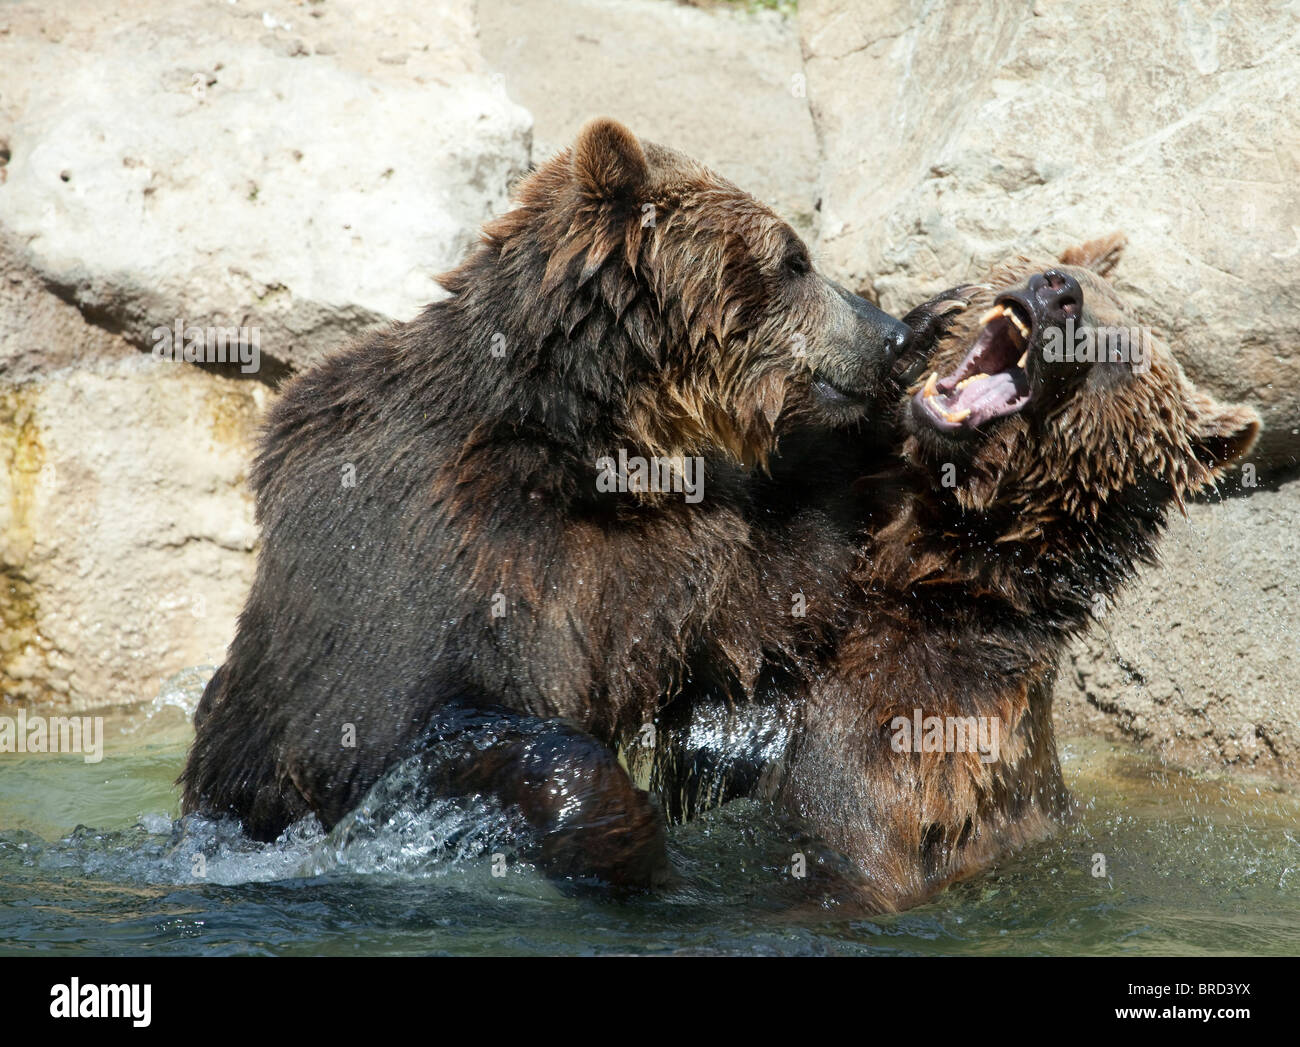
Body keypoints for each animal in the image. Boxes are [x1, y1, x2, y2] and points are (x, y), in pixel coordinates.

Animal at [648, 235, 1260, 911]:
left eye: (1123, 352)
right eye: (1055, 265)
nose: (1058, 292)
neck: (924, 560)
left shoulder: (926, 730)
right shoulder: (781, 595)